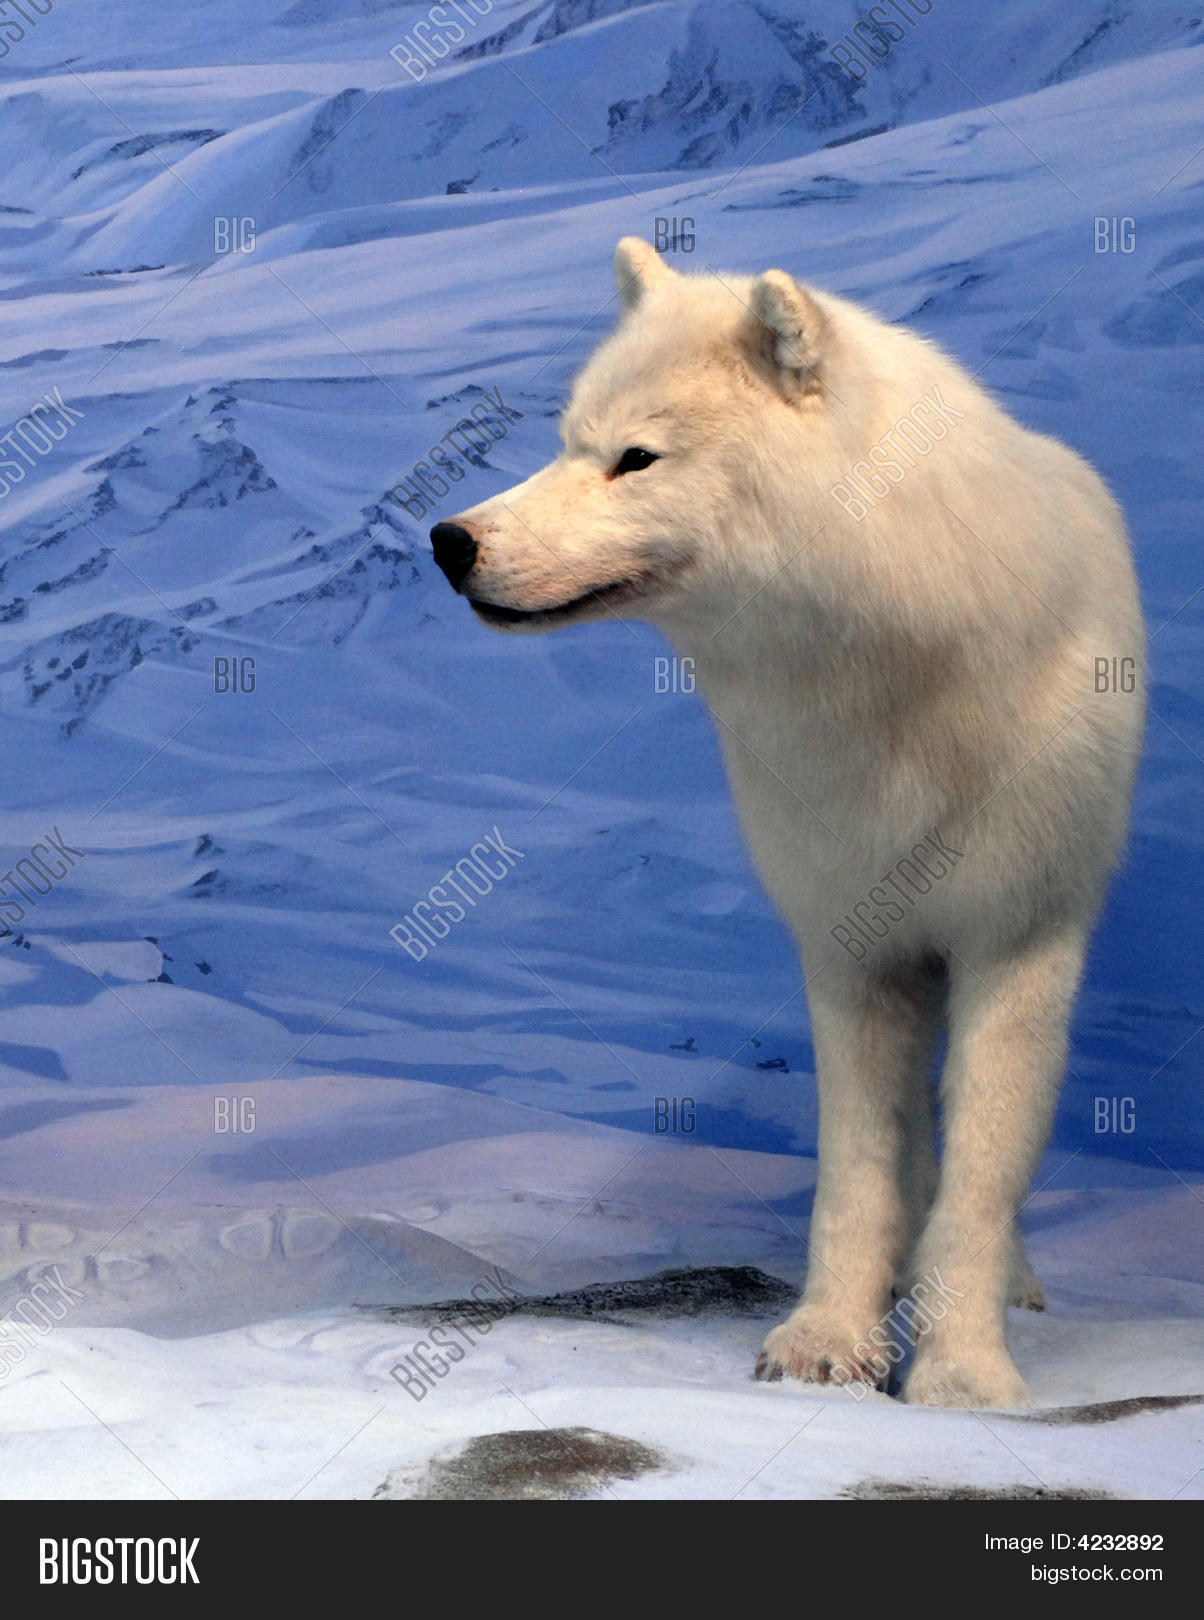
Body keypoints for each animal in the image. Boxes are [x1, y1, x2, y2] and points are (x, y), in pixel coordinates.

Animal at [429, 238, 1145, 1408]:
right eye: (568, 442)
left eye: (635, 459)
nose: (451, 540)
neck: (893, 675)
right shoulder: (850, 948)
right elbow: (855, 1172)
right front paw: (827, 1346)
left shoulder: (1020, 941)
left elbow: (985, 1168)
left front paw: (962, 1374)